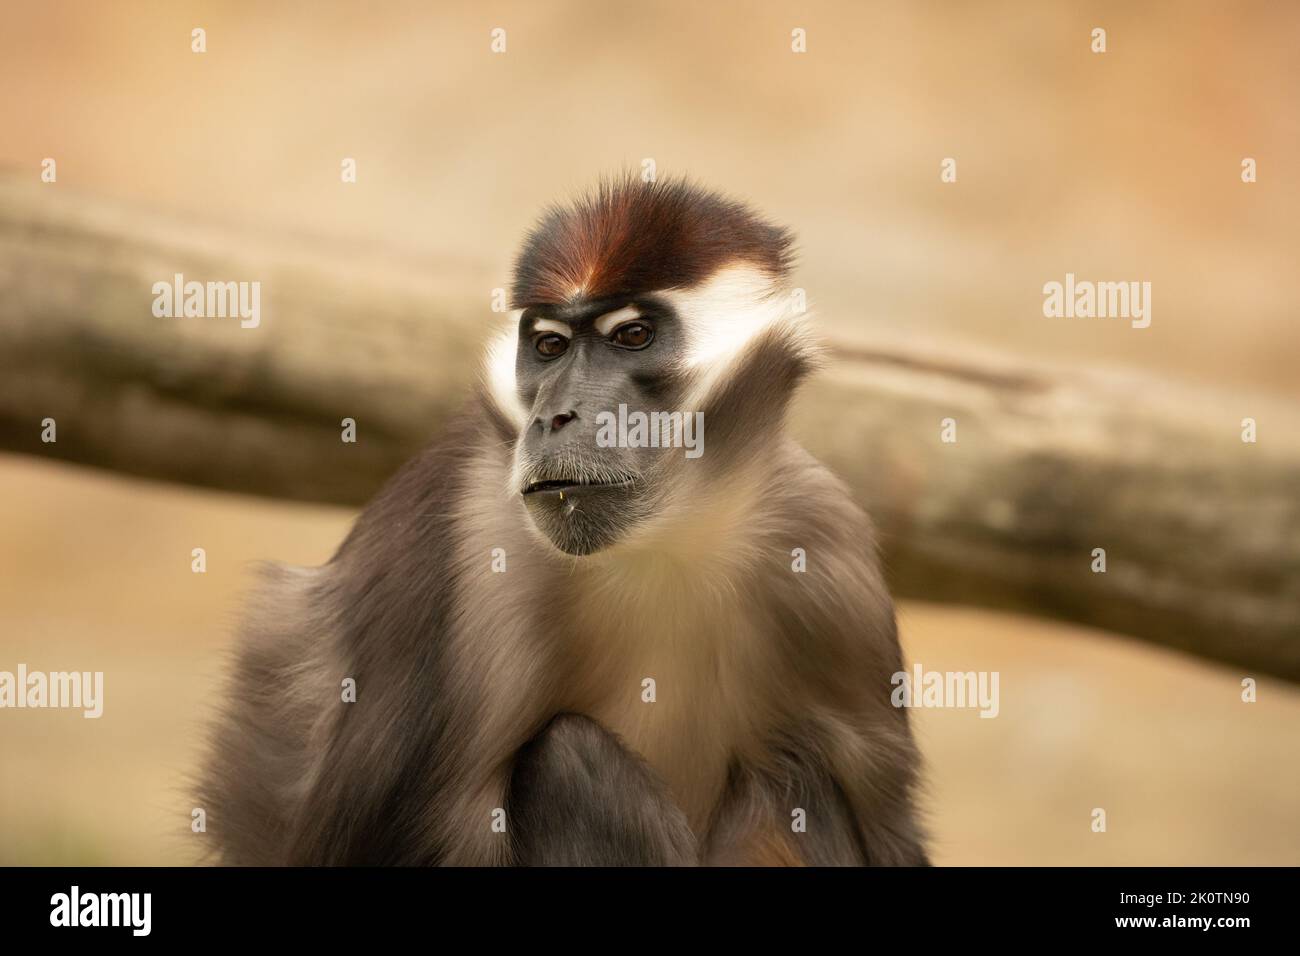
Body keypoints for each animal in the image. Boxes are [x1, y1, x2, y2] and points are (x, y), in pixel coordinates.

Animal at [199, 174, 929, 866]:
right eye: (549, 347)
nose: (556, 416)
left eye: (632, 336)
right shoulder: (464, 529)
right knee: (569, 760)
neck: (661, 543)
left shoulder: (829, 550)